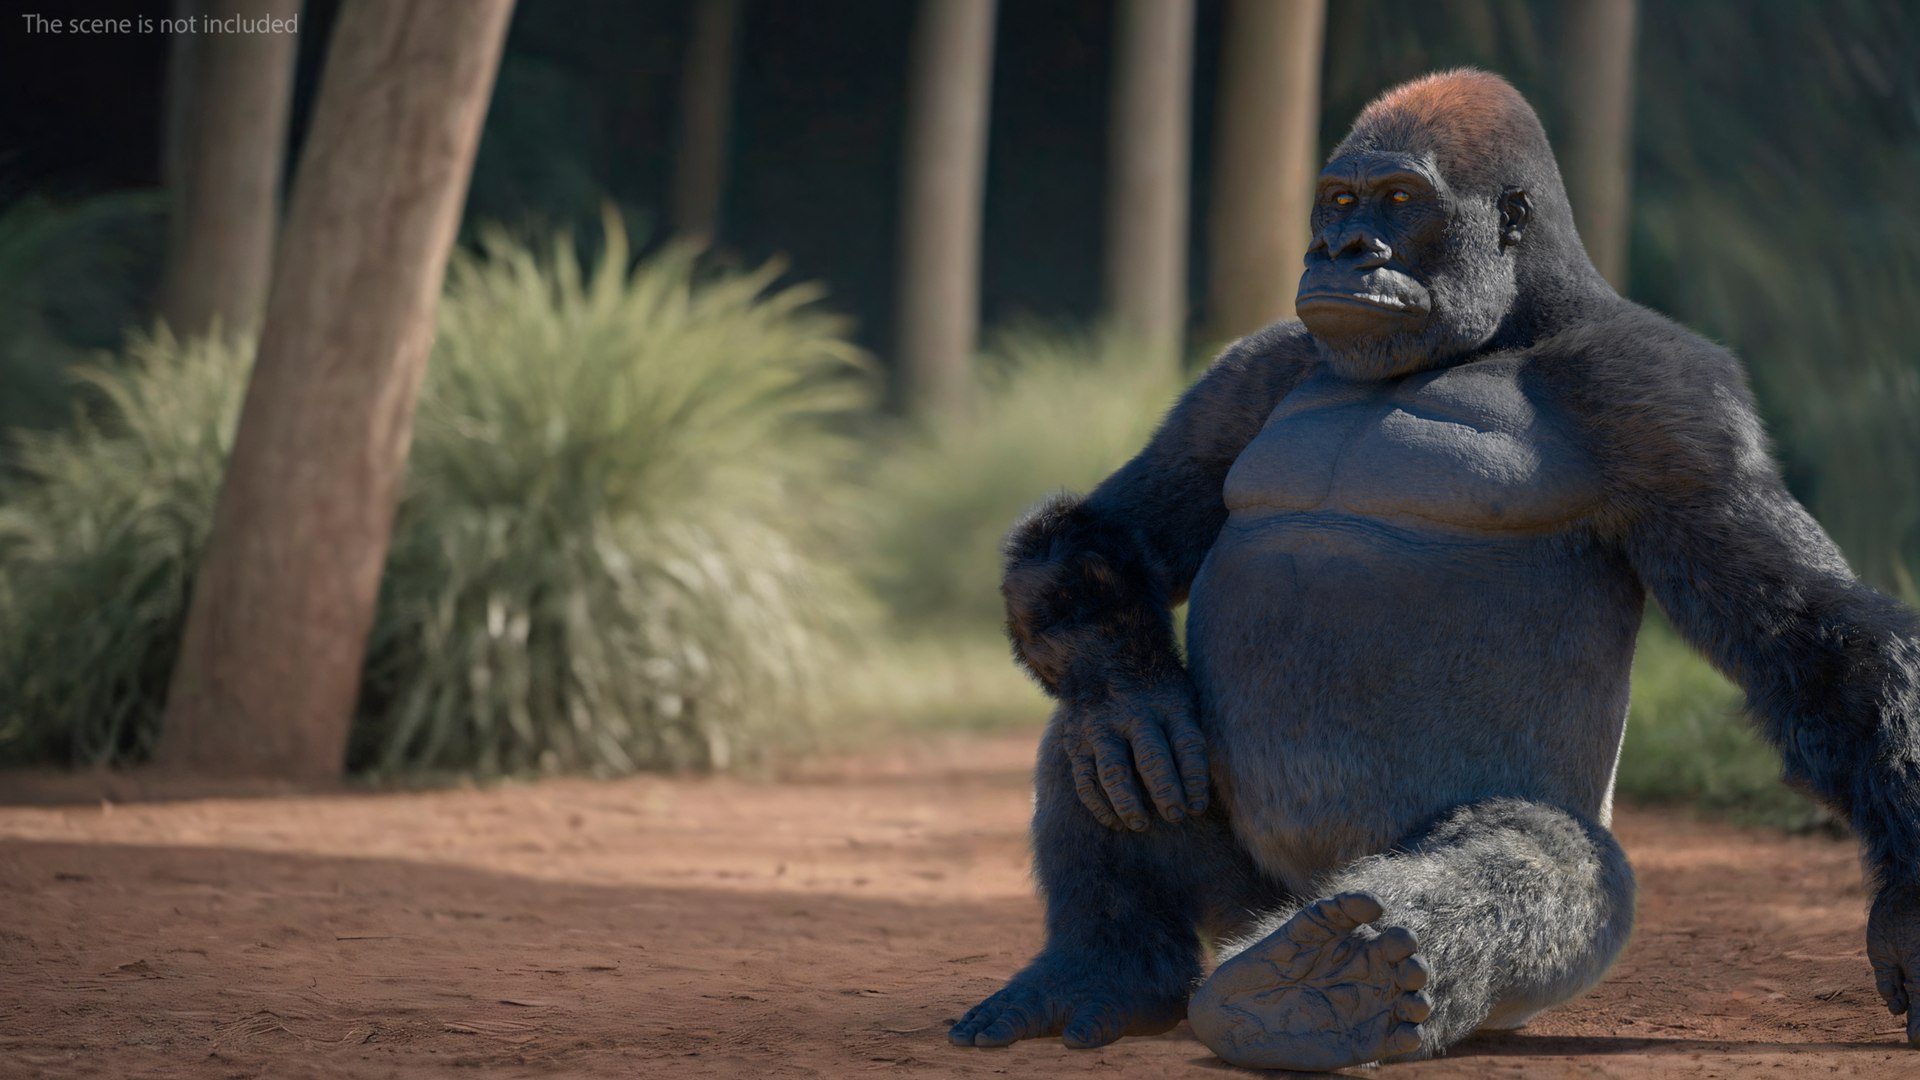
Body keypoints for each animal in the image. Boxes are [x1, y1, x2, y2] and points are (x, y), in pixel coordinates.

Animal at [947, 69, 1920, 1070]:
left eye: (1400, 199)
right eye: (1340, 201)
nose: (1341, 248)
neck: (1510, 325)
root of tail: (1286, 903)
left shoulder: (1664, 395)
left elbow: (1814, 643)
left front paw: (1909, 915)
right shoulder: (1254, 366)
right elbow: (1110, 536)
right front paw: (1129, 696)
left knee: (1544, 855)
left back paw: (1329, 981)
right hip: (1240, 890)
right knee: (1100, 723)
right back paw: (1116, 955)